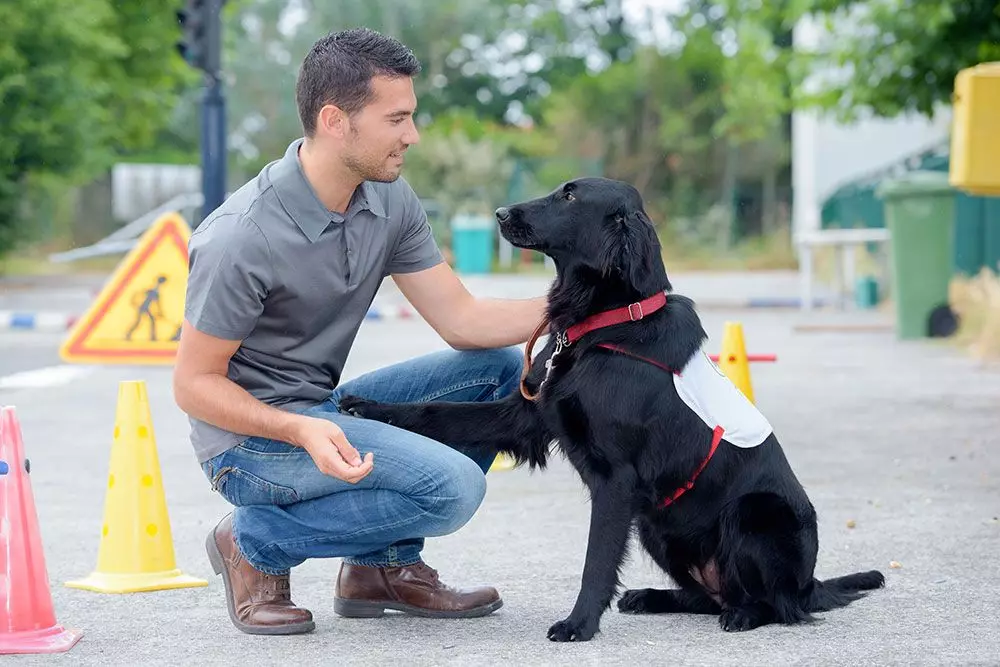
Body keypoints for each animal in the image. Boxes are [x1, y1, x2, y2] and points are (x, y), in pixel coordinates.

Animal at [342, 176, 884, 640]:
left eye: (570, 197)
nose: (499, 213)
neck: (607, 323)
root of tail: (810, 582)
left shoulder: (616, 480)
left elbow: (596, 561)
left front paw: (578, 624)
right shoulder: (527, 415)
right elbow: (436, 412)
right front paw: (362, 407)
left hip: (750, 512)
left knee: (776, 604)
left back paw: (744, 615)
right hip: (656, 525)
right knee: (707, 596)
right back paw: (650, 597)